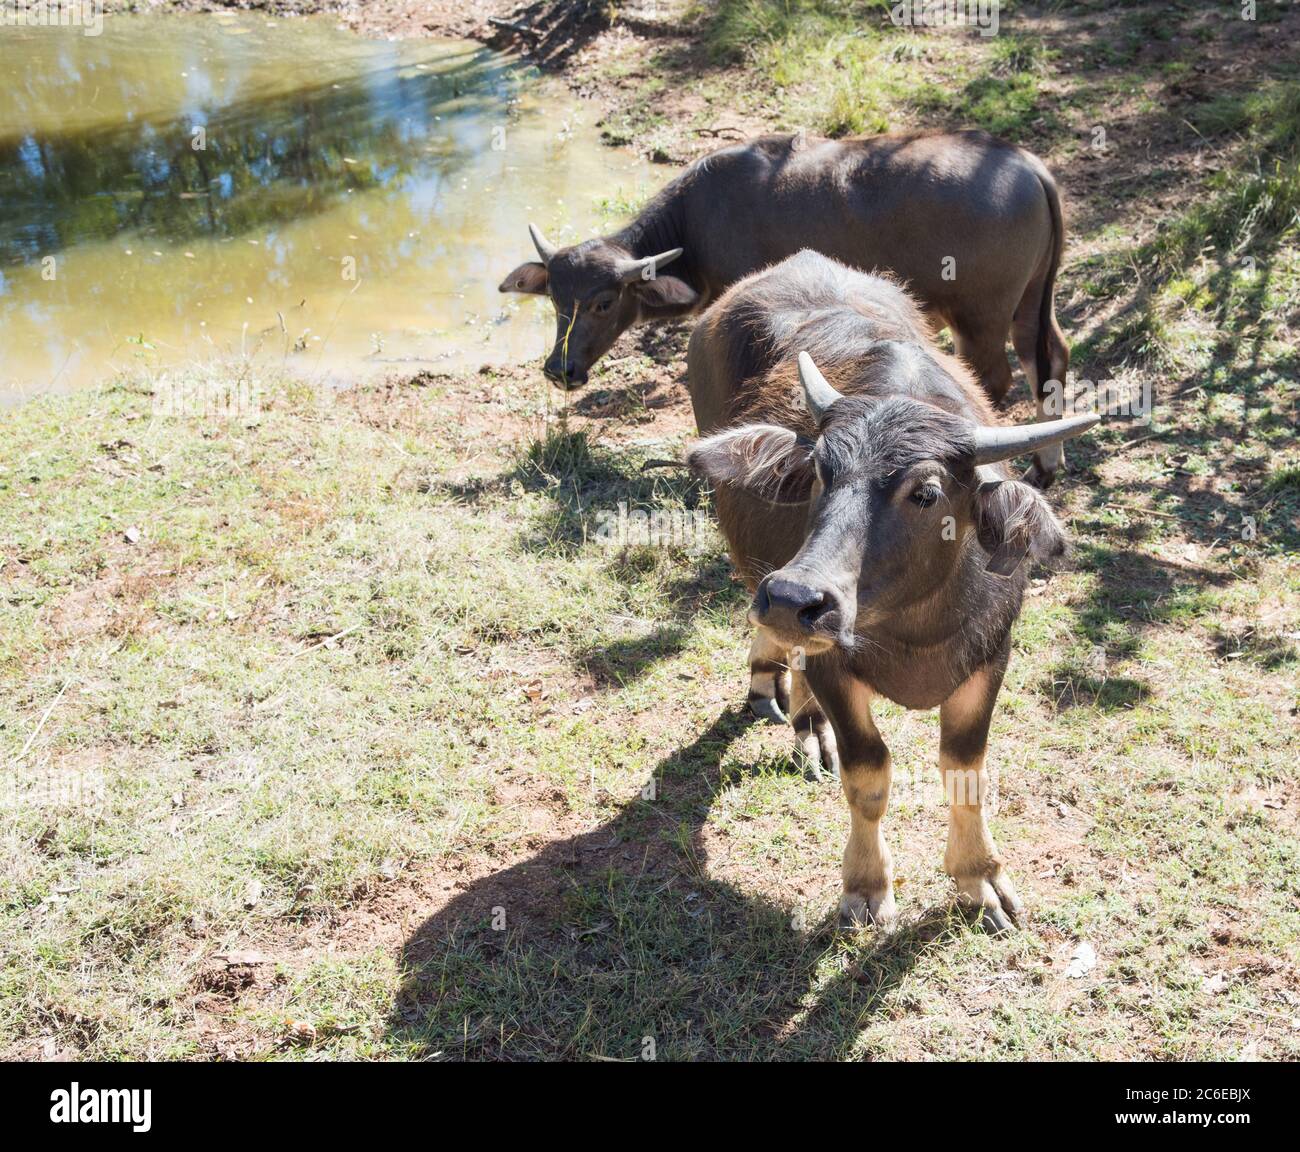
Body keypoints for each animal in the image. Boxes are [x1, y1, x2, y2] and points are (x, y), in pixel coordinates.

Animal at [685, 251, 1098, 931]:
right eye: (820, 469)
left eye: (926, 492)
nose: (793, 596)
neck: (914, 632)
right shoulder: (836, 665)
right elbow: (869, 769)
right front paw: (866, 886)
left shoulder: (991, 656)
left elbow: (965, 766)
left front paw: (979, 877)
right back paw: (788, 701)